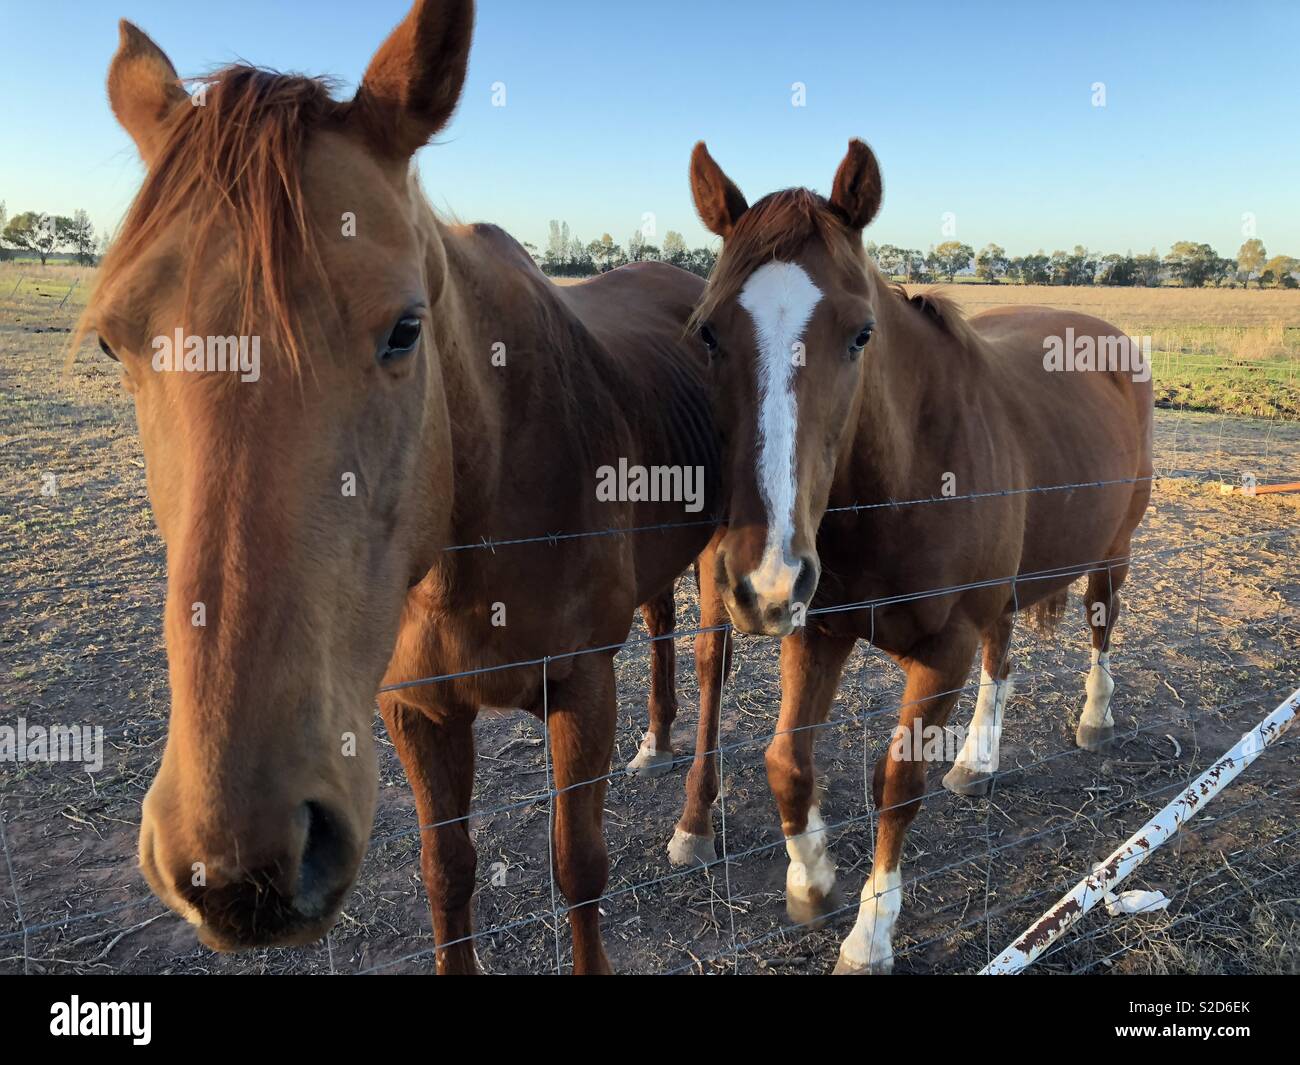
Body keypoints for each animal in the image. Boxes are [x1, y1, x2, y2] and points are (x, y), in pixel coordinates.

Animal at [83, 0, 727, 974]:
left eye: (404, 328)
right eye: (112, 341)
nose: (239, 865)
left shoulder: (579, 688)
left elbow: (577, 864)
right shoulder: (415, 710)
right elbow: (446, 874)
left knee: (712, 656)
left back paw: (694, 815)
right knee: (660, 622)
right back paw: (658, 743)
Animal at [683, 138, 1153, 973]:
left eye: (860, 333)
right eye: (709, 330)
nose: (763, 580)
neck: (901, 478)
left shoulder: (942, 650)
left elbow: (898, 782)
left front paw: (869, 936)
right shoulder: (818, 629)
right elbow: (786, 760)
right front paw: (812, 879)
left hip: (1114, 550)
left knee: (1102, 624)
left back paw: (1095, 716)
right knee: (1005, 656)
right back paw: (977, 761)